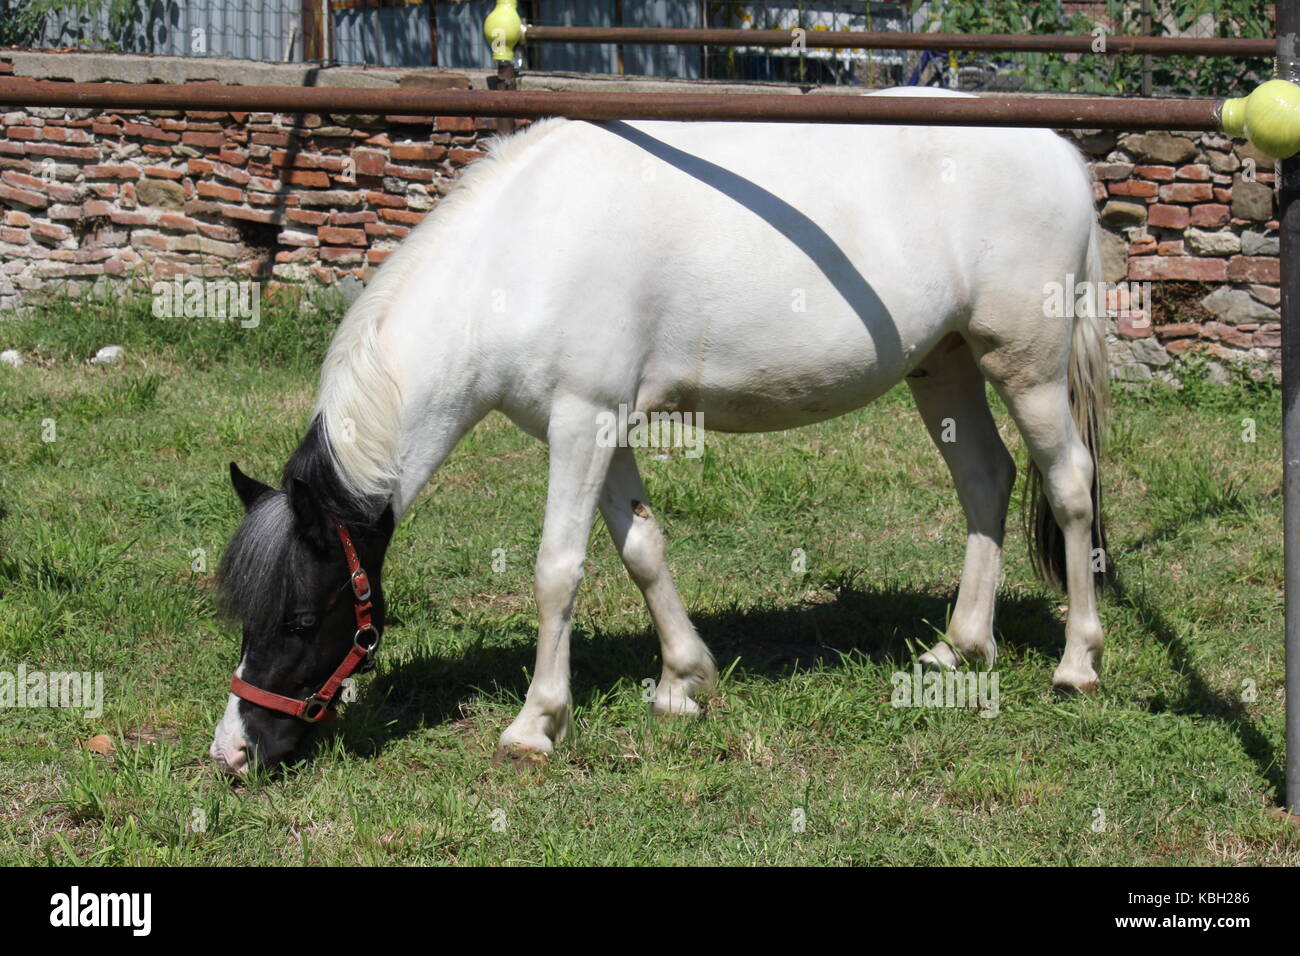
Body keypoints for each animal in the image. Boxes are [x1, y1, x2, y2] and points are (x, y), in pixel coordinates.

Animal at [210, 89, 1109, 775]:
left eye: (300, 620)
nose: (234, 753)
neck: (514, 255)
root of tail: (1057, 149)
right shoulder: (599, 426)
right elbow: (642, 547)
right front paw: (684, 680)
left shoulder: (581, 421)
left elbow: (558, 570)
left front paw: (536, 724)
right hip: (945, 364)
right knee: (987, 479)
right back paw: (960, 647)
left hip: (1025, 367)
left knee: (1069, 485)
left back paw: (1077, 665)